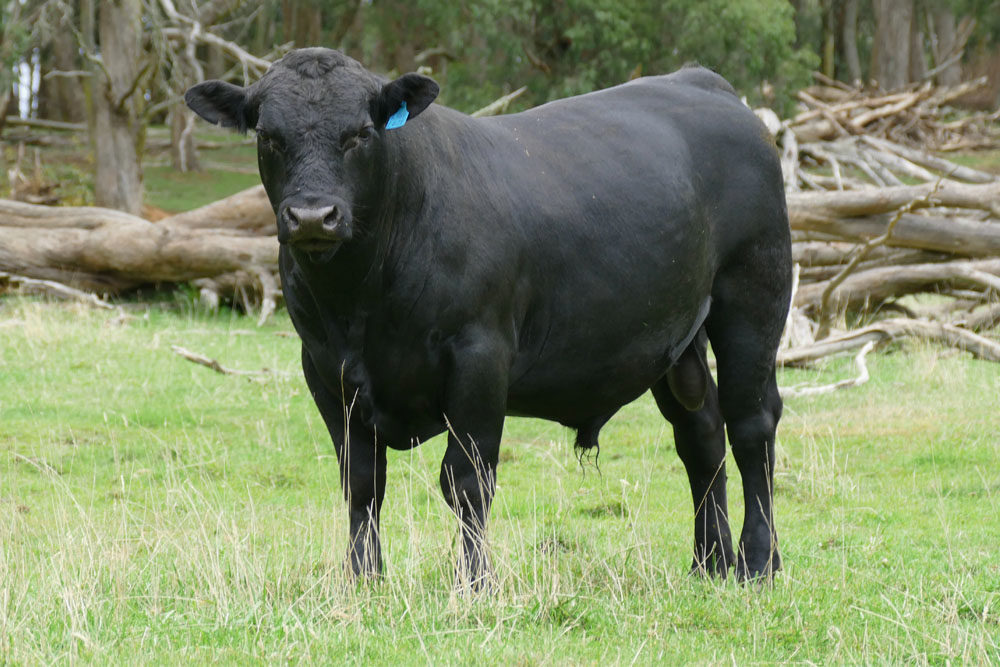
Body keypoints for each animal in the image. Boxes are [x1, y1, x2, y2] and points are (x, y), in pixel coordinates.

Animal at [185, 47, 792, 586]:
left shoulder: (479, 356)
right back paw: (709, 563)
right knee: (701, 435)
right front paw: (362, 579)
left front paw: (475, 583)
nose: (314, 216)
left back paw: (757, 562)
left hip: (753, 299)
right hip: (676, 340)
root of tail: (701, 80)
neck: (361, 302)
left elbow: (467, 480)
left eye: (360, 133)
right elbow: (361, 481)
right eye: (269, 136)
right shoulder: (325, 368)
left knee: (750, 426)